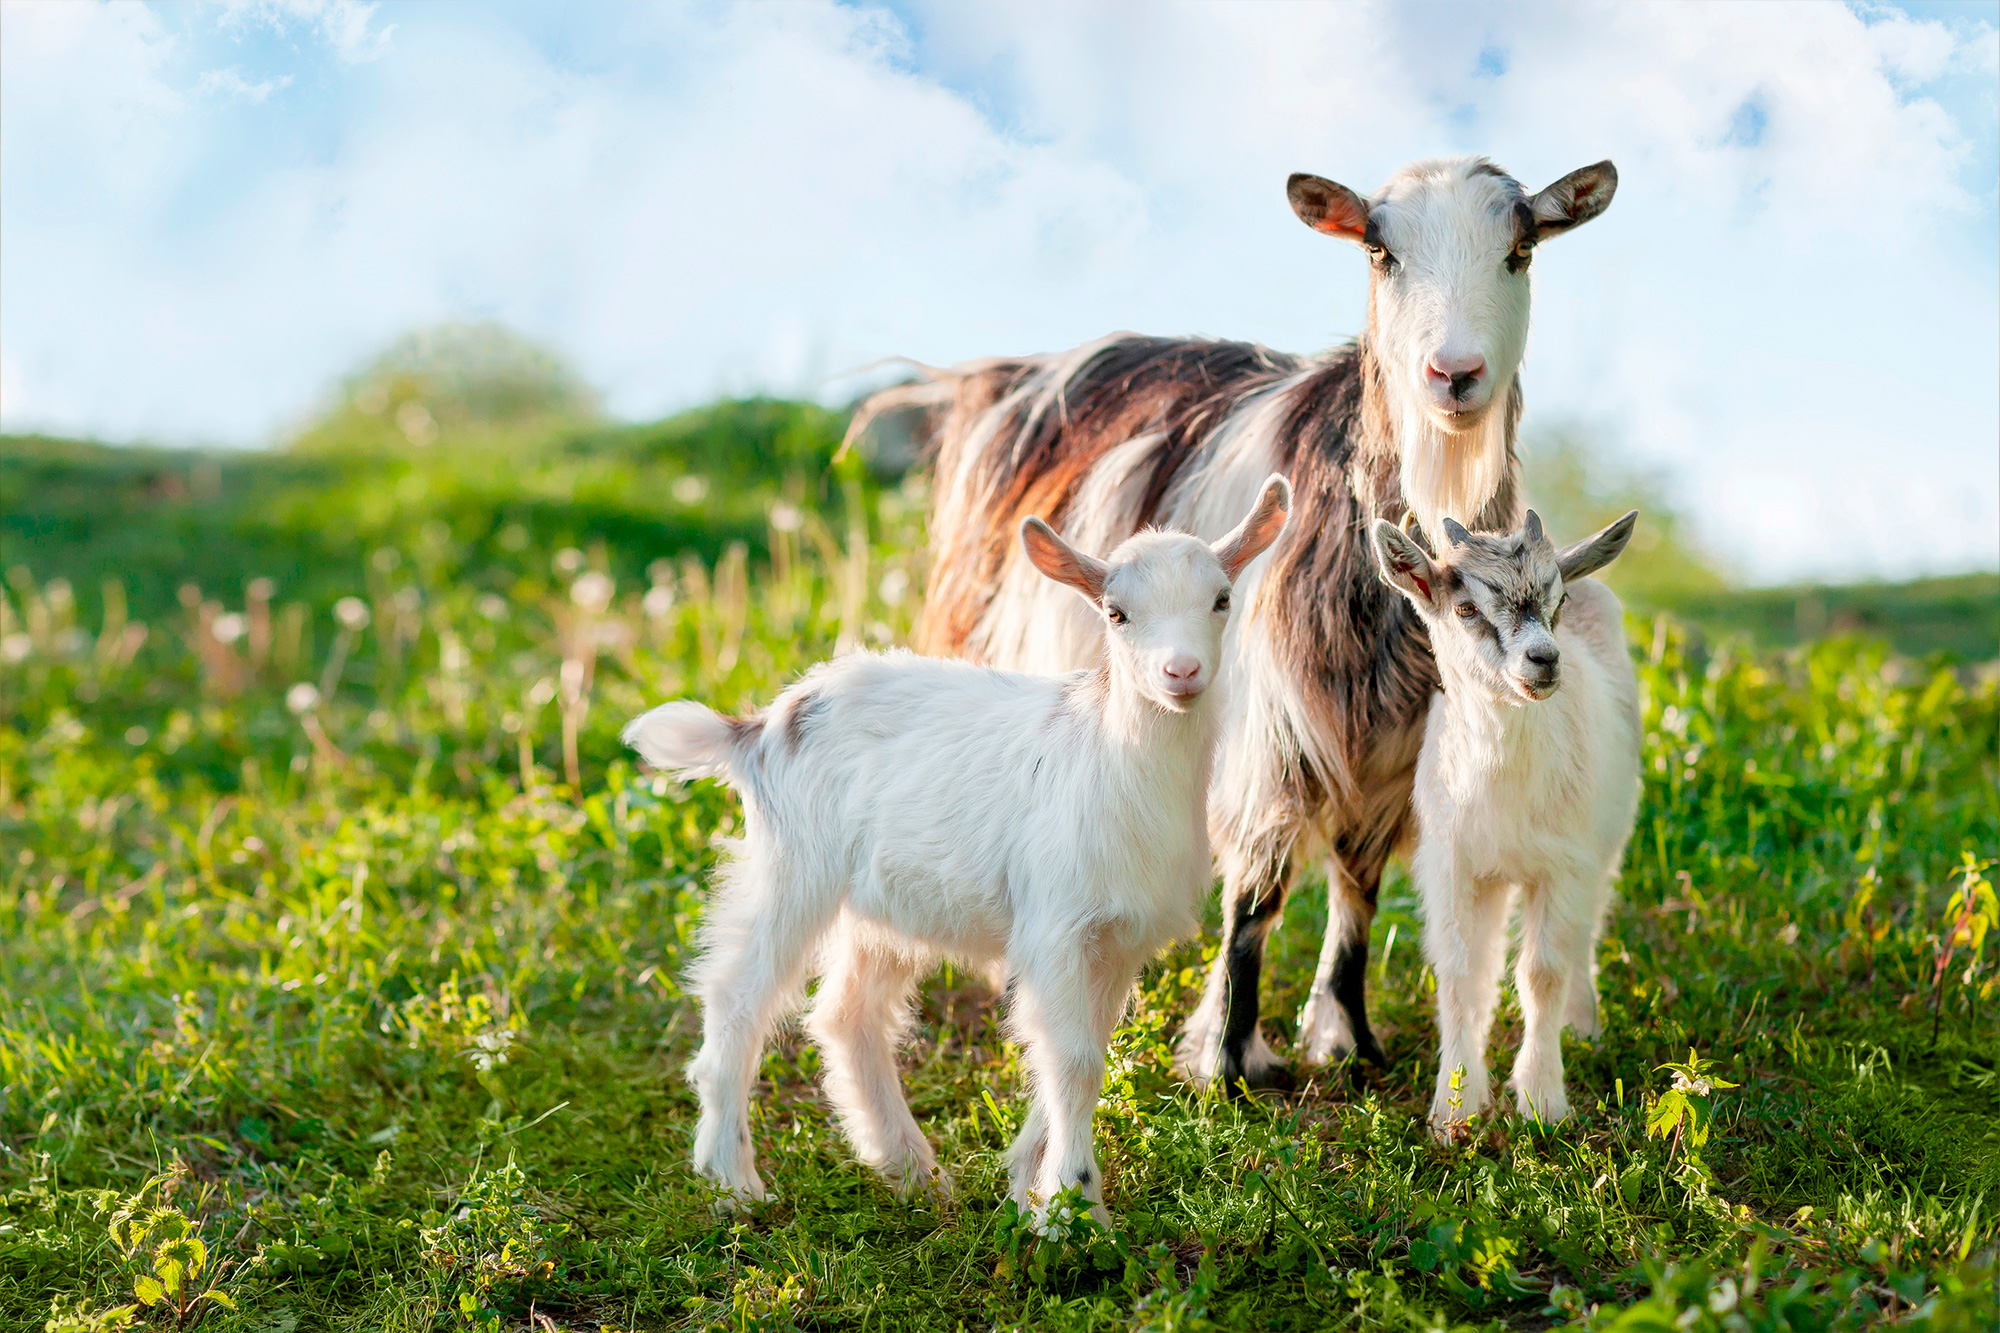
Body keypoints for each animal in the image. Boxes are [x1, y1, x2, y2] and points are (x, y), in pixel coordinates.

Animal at [623, 477, 1292, 1223]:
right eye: (1116, 612)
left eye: (1222, 598)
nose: (1182, 671)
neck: (1109, 758)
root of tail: (761, 726)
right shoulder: (1055, 925)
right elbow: (1074, 1060)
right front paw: (1074, 1210)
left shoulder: (1120, 939)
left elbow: (1078, 1052)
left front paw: (1029, 1186)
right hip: (793, 868)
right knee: (738, 997)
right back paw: (733, 1182)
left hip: (882, 906)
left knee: (848, 1015)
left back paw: (910, 1169)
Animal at [848, 154, 1619, 1093]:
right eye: (1379, 251)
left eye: (1523, 249)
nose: (1455, 373)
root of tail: (994, 376)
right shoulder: (1268, 729)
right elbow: (1257, 891)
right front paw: (1227, 1056)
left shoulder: (1393, 743)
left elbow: (1358, 886)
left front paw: (1347, 1036)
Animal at [1369, 508, 1641, 1133]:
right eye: (1466, 608)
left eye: (1559, 600)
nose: (1545, 659)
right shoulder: (1453, 866)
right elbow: (1460, 972)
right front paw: (1455, 1108)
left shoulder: (1565, 865)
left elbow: (1542, 973)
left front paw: (1543, 1102)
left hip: (1603, 849)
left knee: (1584, 935)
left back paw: (1584, 1027)